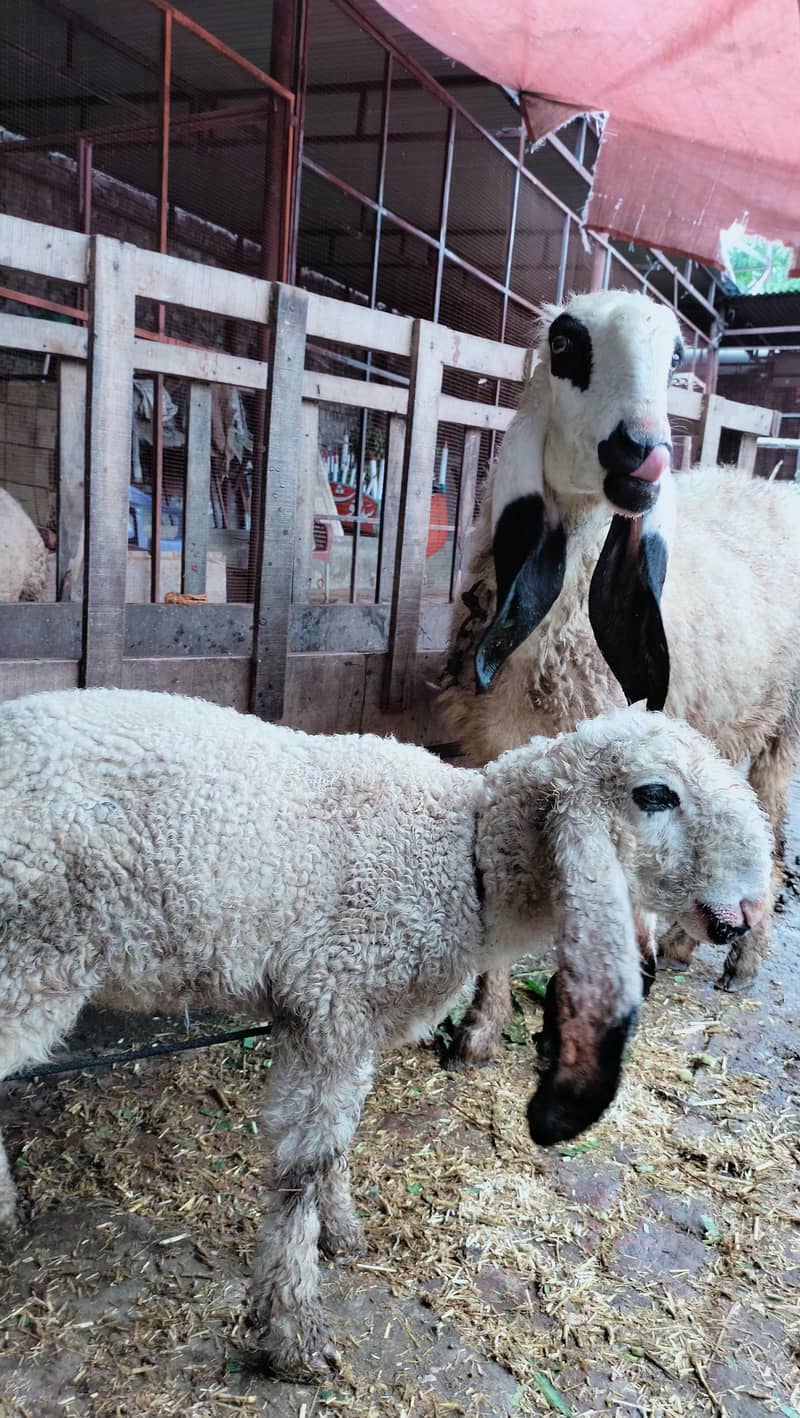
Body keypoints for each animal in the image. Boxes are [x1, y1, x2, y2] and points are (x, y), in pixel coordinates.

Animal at [0, 687, 771, 1379]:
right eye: (655, 795)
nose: (745, 914)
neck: (462, 855)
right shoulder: (332, 1001)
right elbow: (303, 1164)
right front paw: (294, 1334)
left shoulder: (337, 1017)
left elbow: (339, 1139)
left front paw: (339, 1231)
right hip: (29, 958)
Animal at [439, 288, 800, 1065]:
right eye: (566, 343)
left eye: (675, 356)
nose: (646, 454)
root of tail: (770, 485)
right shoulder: (495, 756)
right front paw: (481, 1028)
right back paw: (686, 945)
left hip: (785, 725)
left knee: (772, 828)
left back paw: (741, 960)